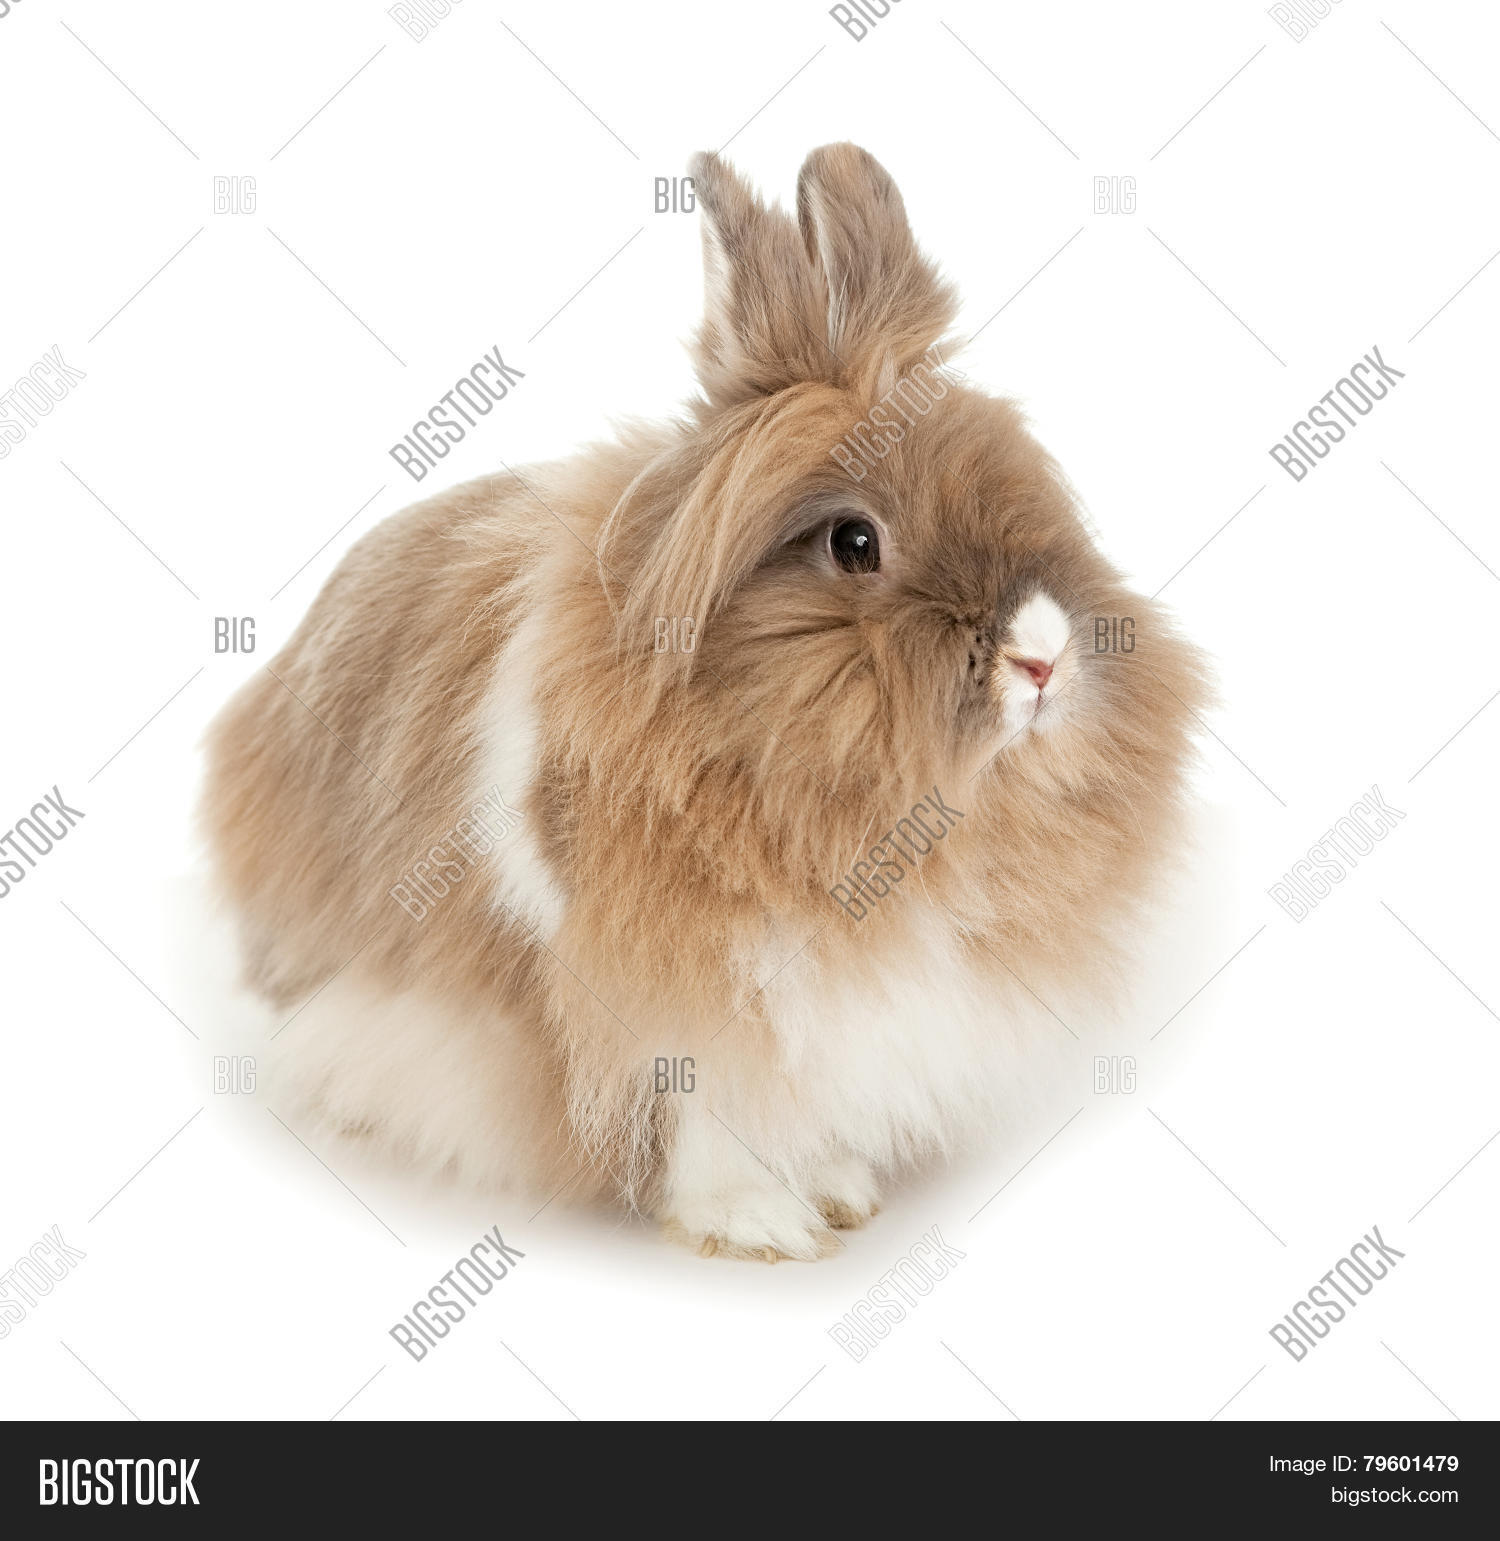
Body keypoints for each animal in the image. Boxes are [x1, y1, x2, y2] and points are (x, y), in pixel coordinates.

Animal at [202, 143, 1207, 1262]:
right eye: (854, 542)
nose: (1042, 656)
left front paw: (839, 1189)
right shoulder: (672, 997)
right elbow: (705, 1116)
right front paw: (761, 1225)